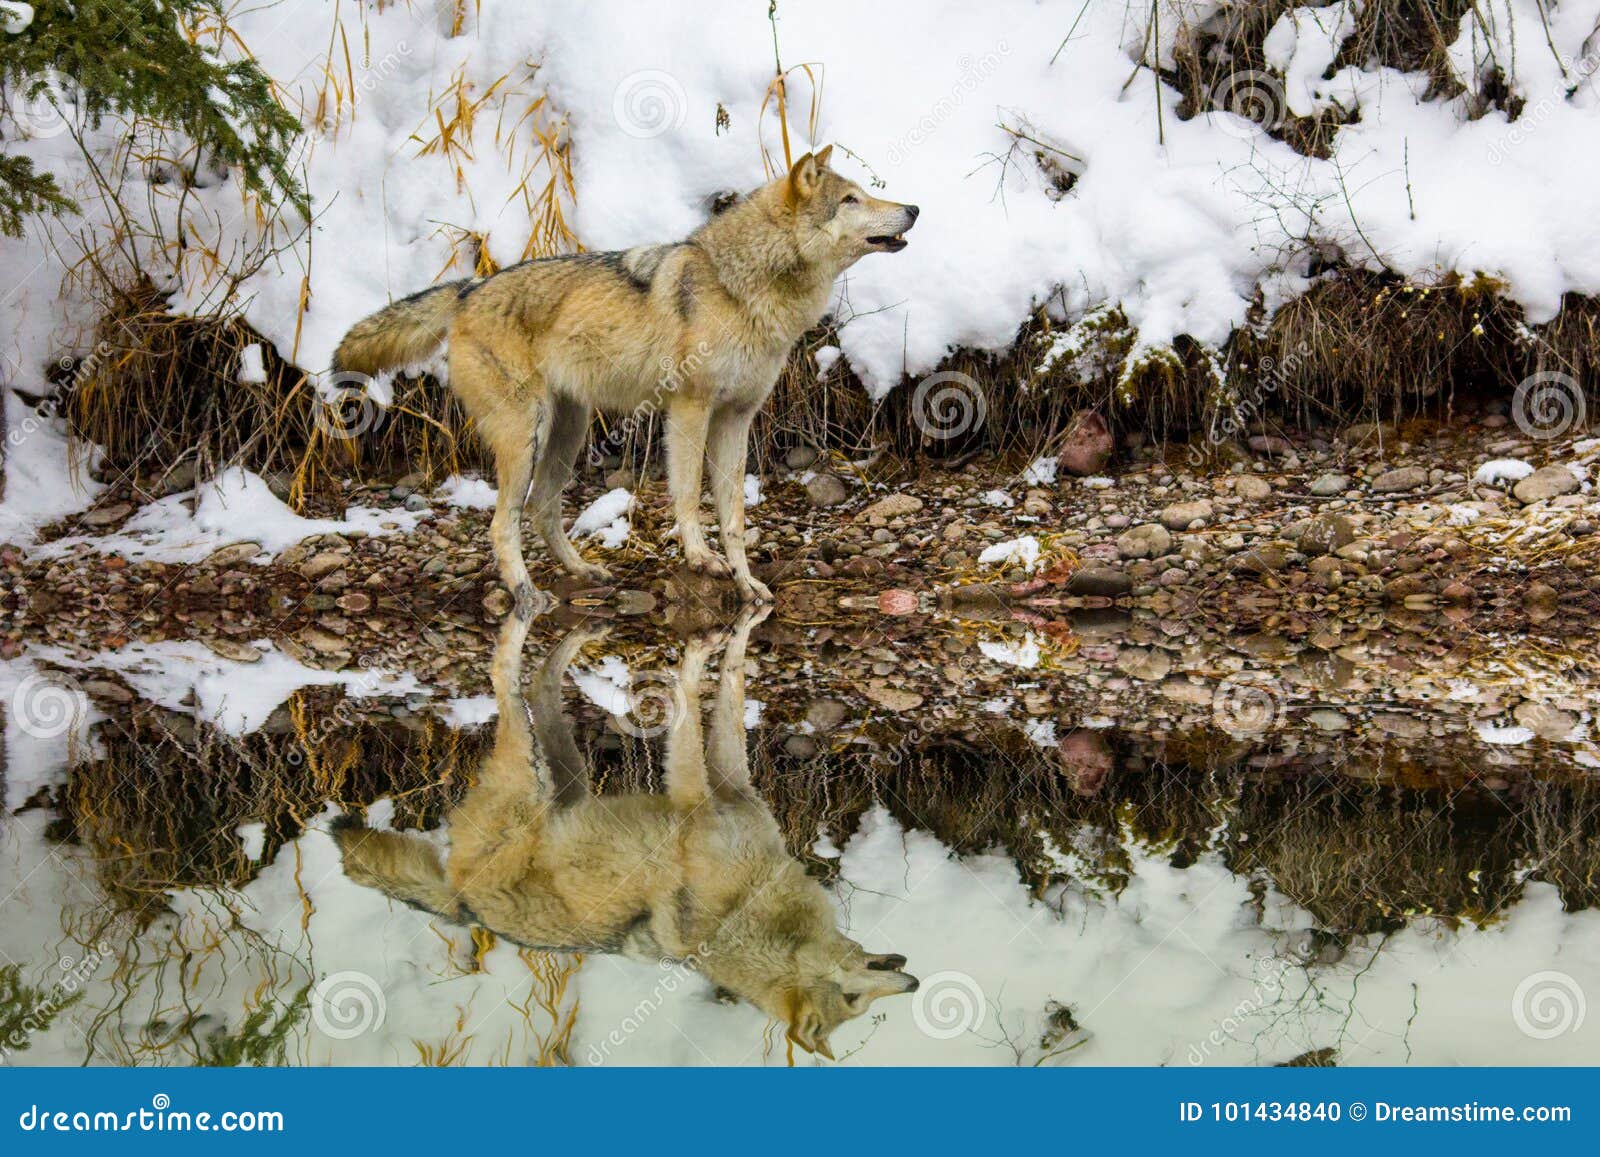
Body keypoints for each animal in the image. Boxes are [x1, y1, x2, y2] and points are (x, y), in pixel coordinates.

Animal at [331, 148, 918, 610]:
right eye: (851, 200)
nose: (914, 207)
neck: (748, 289)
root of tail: (467, 289)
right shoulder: (689, 410)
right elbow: (688, 495)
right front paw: (699, 558)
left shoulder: (737, 419)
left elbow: (733, 517)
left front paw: (747, 584)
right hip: (527, 436)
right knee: (503, 524)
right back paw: (525, 594)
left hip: (567, 431)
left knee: (542, 511)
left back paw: (582, 572)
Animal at [332, 608, 919, 1061]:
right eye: (856, 1002)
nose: (914, 979)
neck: (747, 913)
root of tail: (465, 907)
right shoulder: (702, 792)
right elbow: (707, 691)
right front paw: (721, 635)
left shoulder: (725, 789)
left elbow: (722, 688)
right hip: (535, 774)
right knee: (508, 669)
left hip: (556, 777)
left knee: (528, 682)